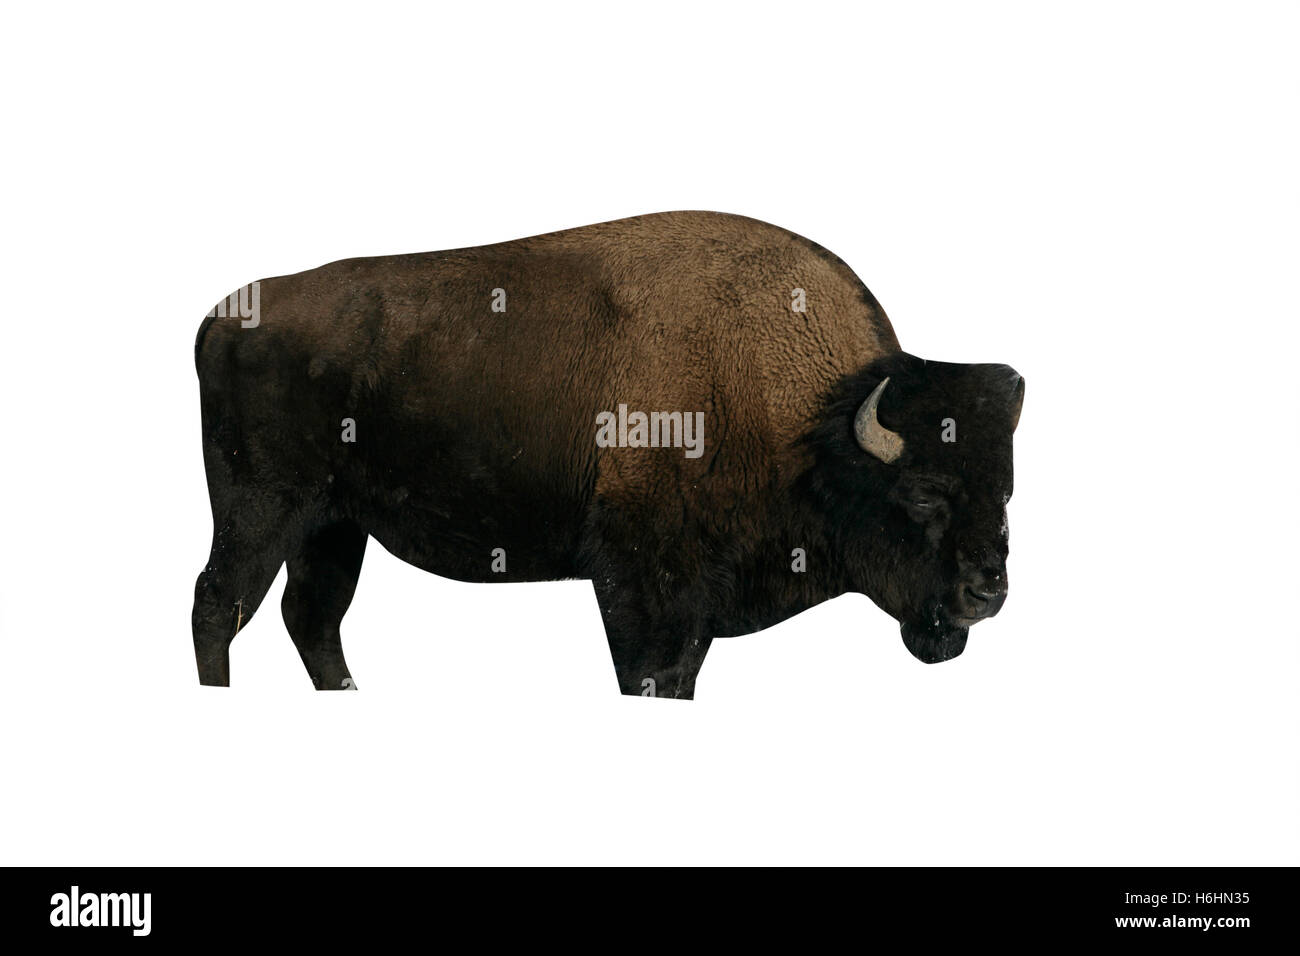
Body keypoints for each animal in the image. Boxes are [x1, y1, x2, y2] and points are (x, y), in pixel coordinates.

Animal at [193, 211, 1023, 696]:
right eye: (924, 492)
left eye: (1007, 494)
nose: (988, 590)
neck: (812, 425)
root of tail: (224, 317)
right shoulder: (644, 586)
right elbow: (652, 672)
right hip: (260, 511)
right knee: (219, 602)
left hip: (334, 525)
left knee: (311, 615)